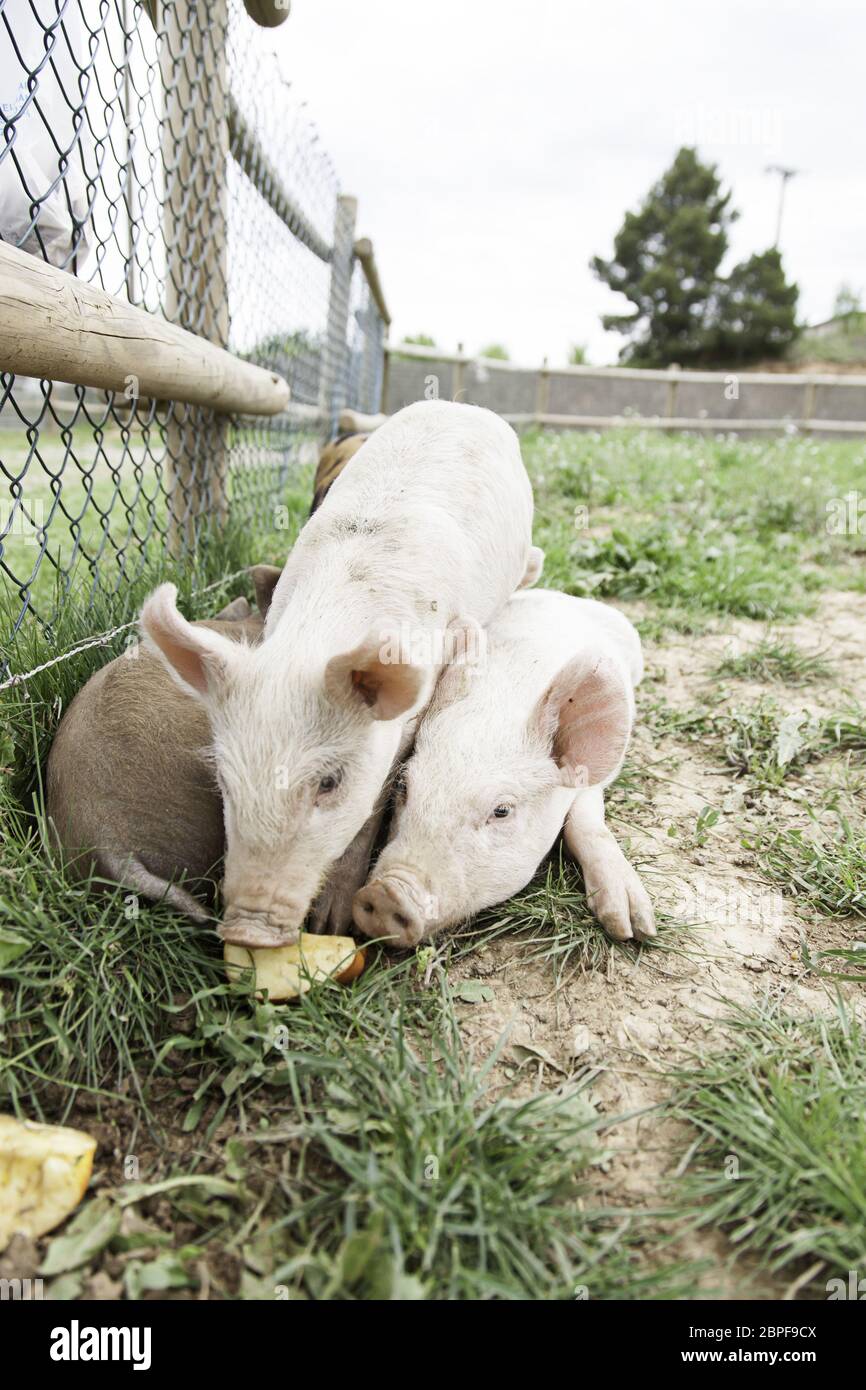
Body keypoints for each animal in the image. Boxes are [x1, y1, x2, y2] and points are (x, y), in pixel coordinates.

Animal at [140, 400, 544, 949]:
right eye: (224, 778)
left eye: (329, 783)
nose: (248, 930)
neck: (315, 638)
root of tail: (461, 404)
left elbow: (375, 803)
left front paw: (333, 925)